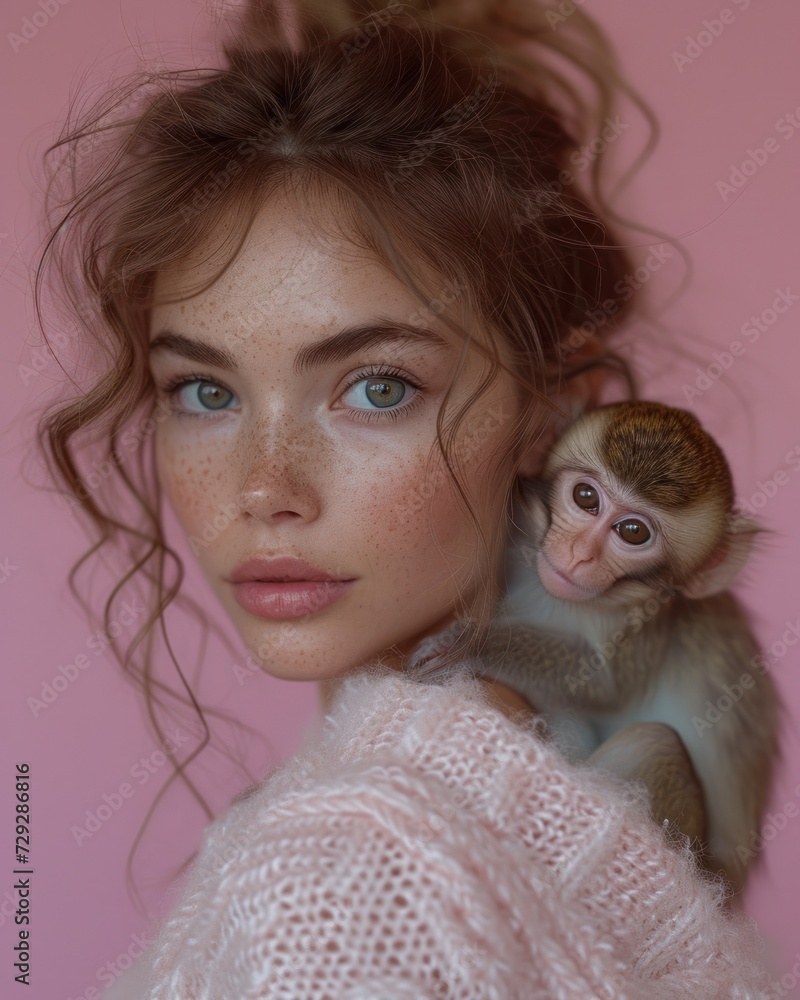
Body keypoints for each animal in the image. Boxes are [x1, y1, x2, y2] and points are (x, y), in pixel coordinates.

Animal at [479, 400, 781, 895]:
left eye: (634, 531)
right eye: (586, 497)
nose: (579, 553)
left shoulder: (647, 626)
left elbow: (606, 687)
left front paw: (471, 644)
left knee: (653, 741)